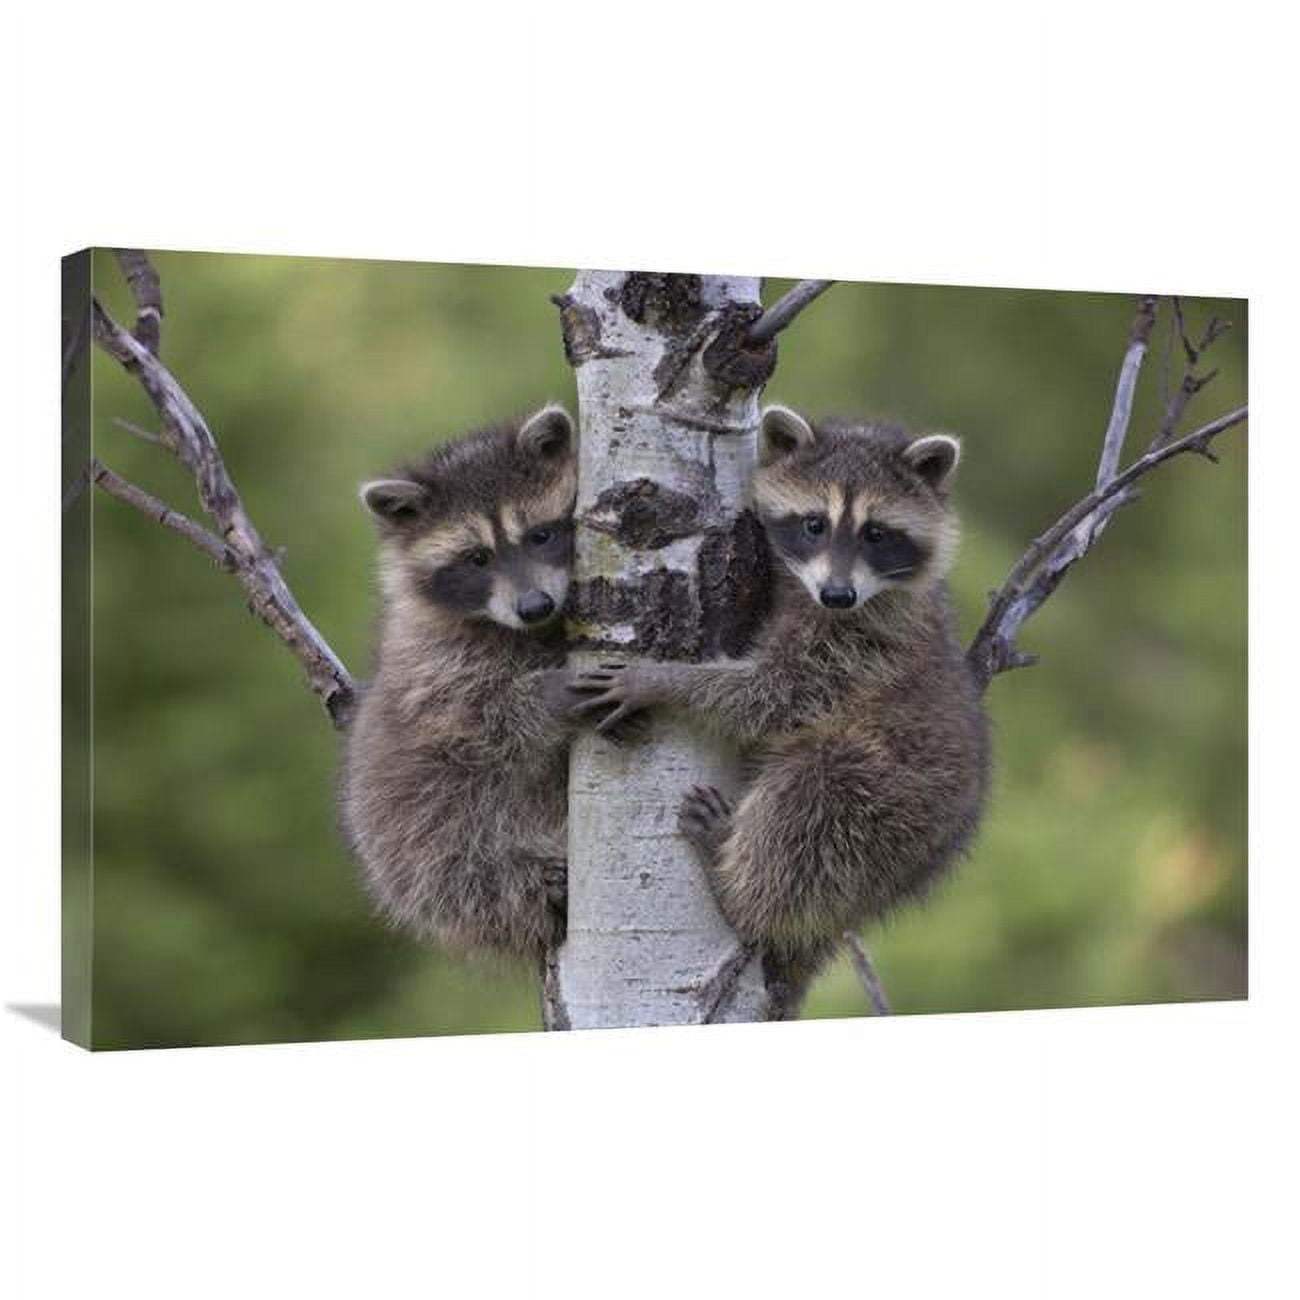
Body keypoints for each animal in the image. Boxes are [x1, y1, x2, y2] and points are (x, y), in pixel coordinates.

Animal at [340, 405, 581, 962]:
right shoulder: (435, 666)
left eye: (540, 535)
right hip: (412, 839)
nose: (534, 606)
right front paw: (546, 694)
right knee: (464, 872)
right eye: (477, 558)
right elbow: (478, 721)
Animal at [570, 405, 990, 1017]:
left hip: (892, 803)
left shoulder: (861, 646)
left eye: (877, 534)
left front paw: (662, 681)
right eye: (814, 524)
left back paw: (737, 890)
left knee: (813, 796)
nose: (837, 594)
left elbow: (771, 696)